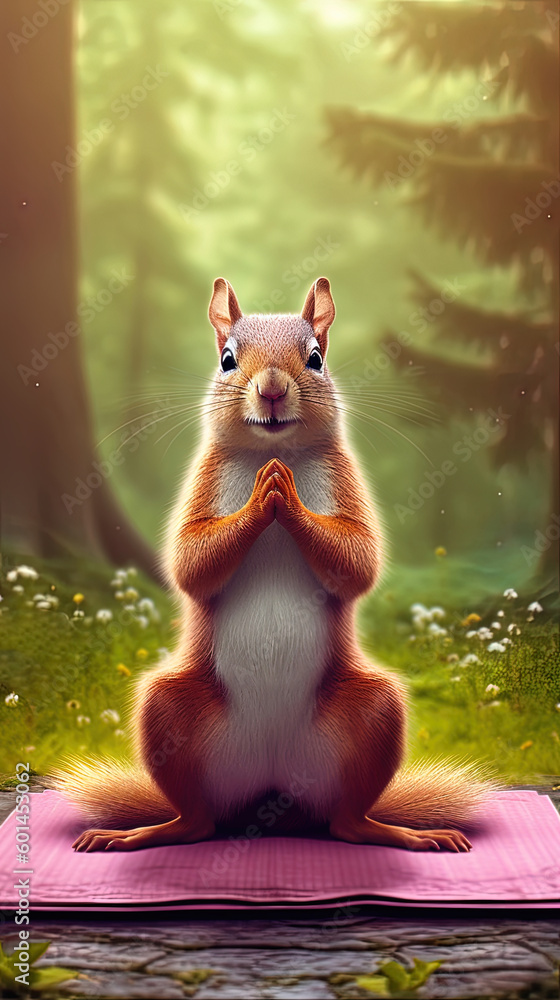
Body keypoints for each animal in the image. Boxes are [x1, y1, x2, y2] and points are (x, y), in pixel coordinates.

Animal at [61, 277, 492, 853]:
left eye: (315, 358)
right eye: (226, 359)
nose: (270, 390)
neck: (275, 449)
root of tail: (273, 797)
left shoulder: (343, 479)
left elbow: (359, 560)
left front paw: (283, 494)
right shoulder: (205, 479)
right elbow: (189, 561)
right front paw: (263, 495)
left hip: (372, 711)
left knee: (346, 821)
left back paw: (400, 833)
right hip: (168, 709)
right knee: (198, 820)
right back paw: (144, 833)